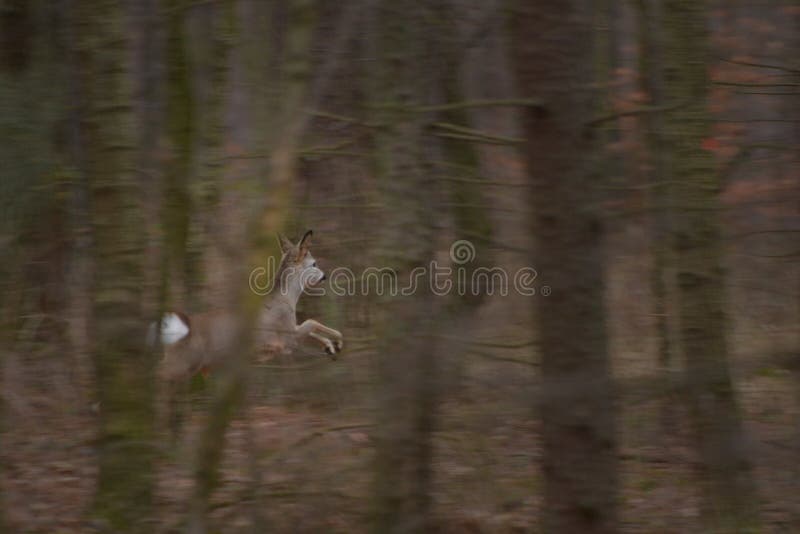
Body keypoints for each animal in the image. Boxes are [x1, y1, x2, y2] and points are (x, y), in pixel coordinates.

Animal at [149, 230, 344, 383]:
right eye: (314, 263)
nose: (324, 276)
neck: (287, 300)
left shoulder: (288, 334)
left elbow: (308, 326)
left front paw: (329, 346)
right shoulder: (287, 338)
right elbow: (311, 322)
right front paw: (338, 340)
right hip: (185, 361)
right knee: (158, 372)